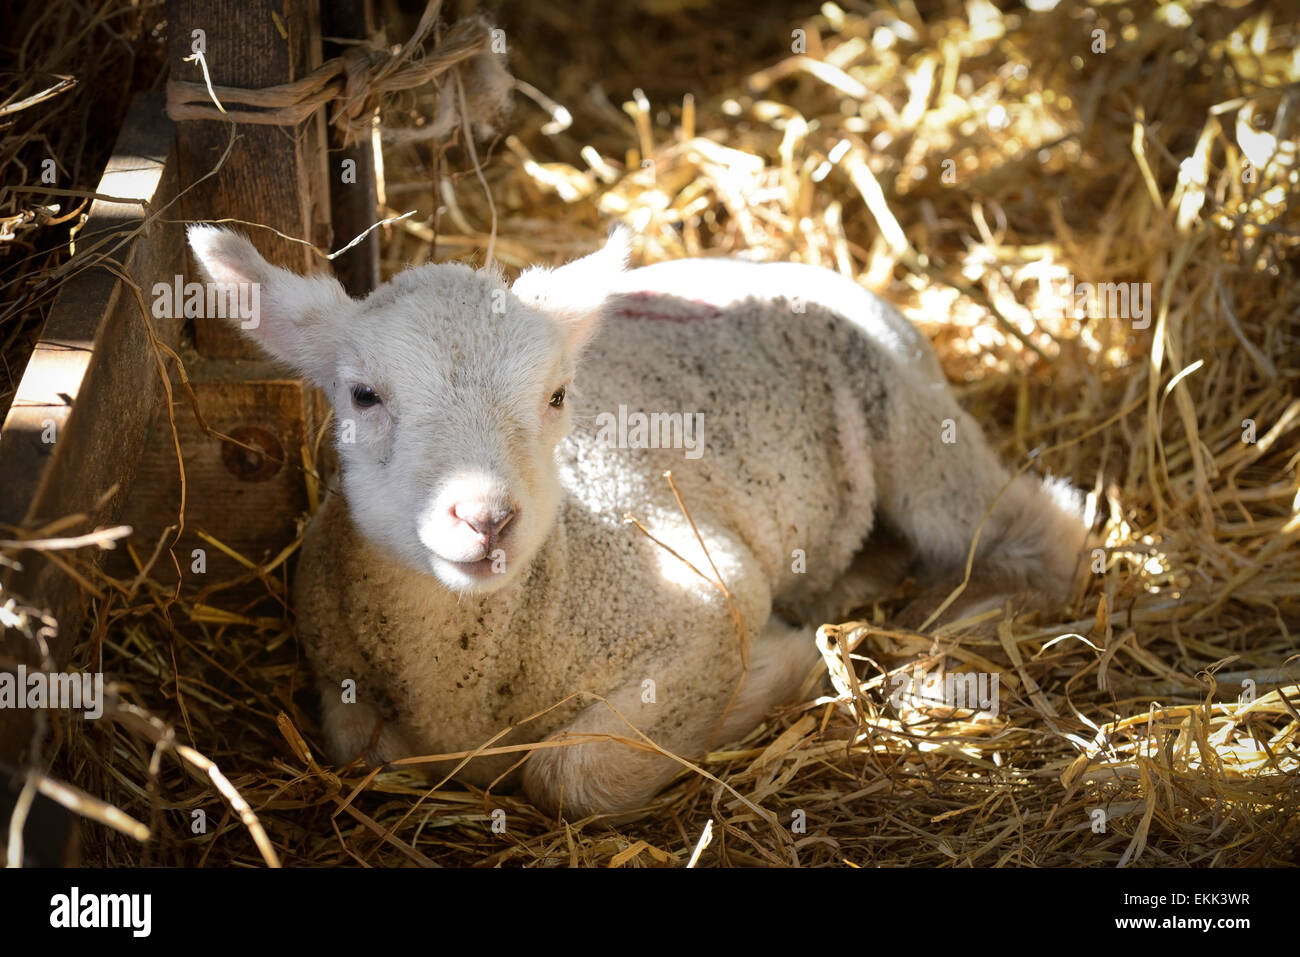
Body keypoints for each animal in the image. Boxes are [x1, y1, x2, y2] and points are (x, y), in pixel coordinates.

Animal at [186, 225, 1090, 818]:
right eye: (364, 394)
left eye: (558, 395)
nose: (487, 518)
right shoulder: (338, 669)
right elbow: (362, 747)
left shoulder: (710, 591)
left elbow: (569, 774)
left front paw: (780, 669)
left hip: (911, 420)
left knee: (1045, 533)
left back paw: (937, 623)